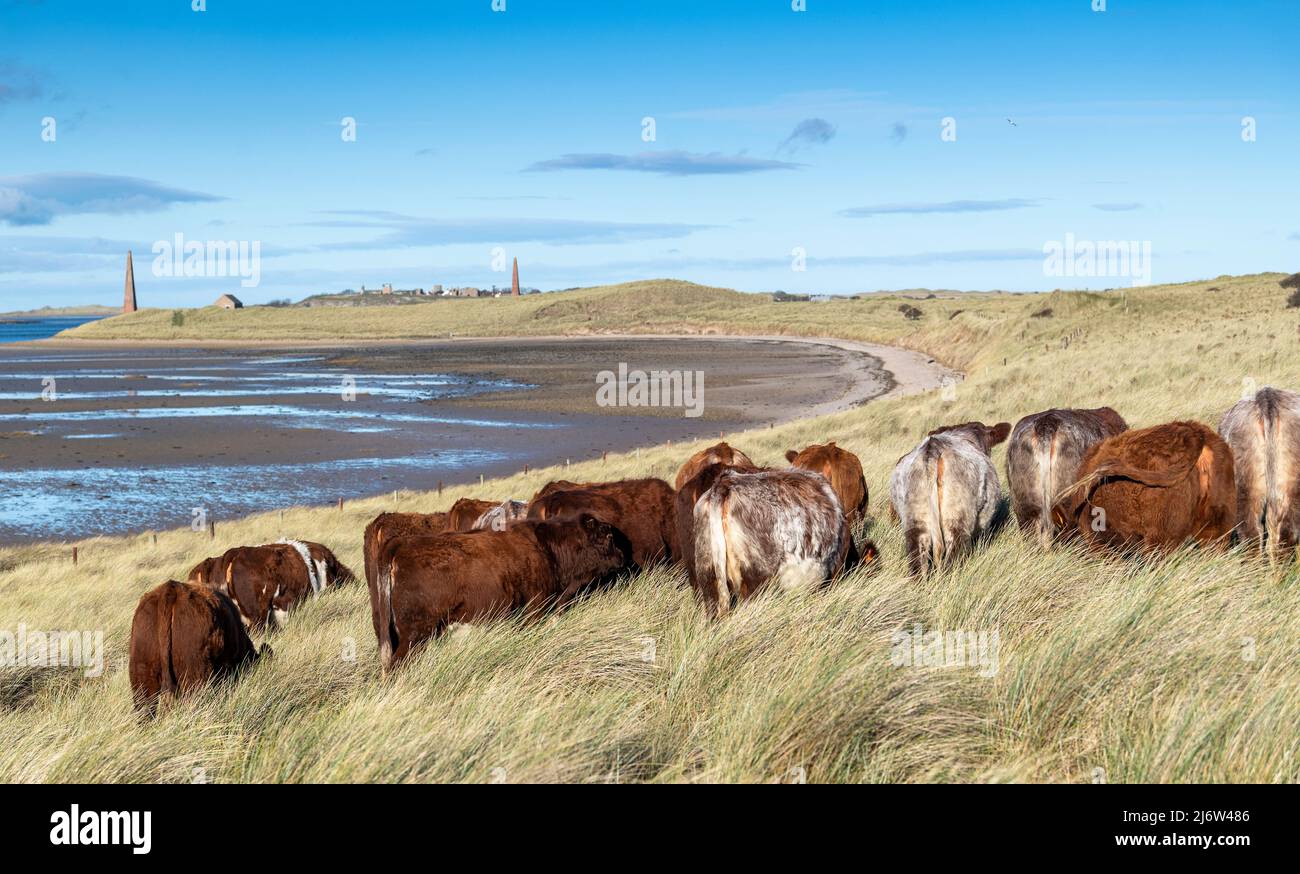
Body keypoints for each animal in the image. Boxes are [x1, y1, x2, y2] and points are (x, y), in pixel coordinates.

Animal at [375, 514, 633, 670]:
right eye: (609, 536)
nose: (623, 557)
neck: (547, 548)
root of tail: (400, 544)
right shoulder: (535, 609)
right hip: (415, 635)